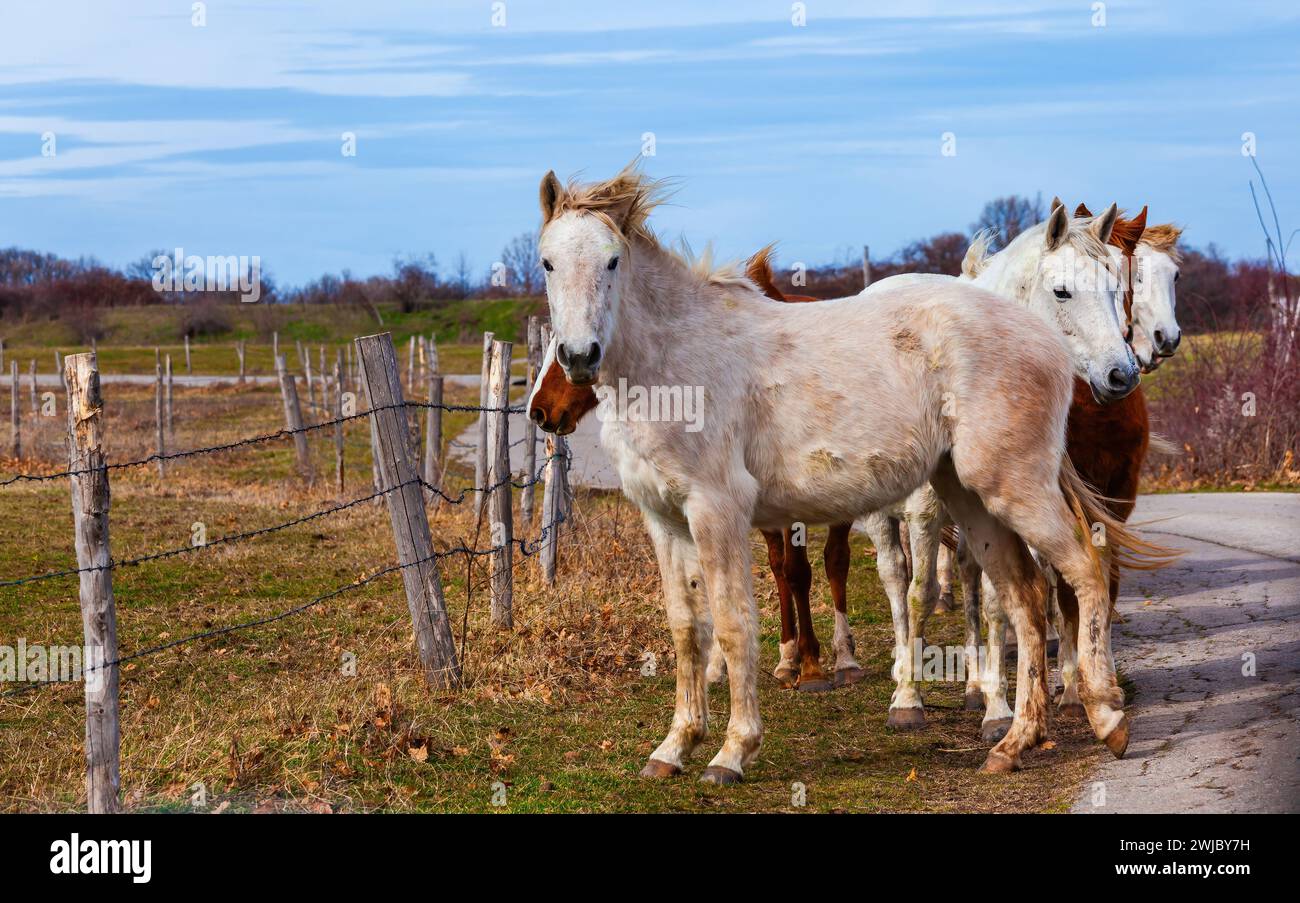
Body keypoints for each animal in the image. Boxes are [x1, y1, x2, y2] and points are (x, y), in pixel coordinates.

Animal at [535, 163, 1162, 781]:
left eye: (613, 261)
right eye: (547, 262)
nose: (579, 356)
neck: (674, 362)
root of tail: (1047, 342)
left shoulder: (717, 512)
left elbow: (735, 626)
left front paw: (733, 752)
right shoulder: (665, 521)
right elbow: (689, 630)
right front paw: (674, 747)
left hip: (1015, 489)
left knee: (1082, 569)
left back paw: (1105, 716)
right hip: (969, 497)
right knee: (1025, 596)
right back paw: (1014, 741)